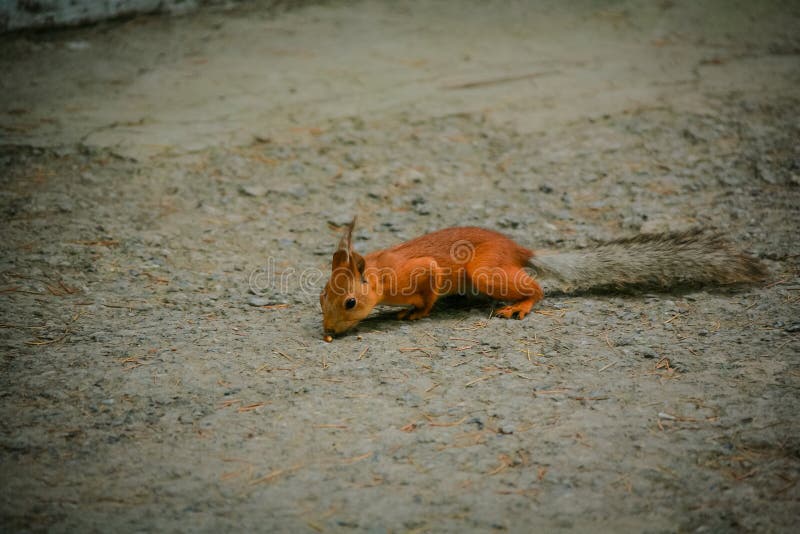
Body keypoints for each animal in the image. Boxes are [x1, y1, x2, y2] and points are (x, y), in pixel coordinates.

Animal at [319, 218, 767, 339]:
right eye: (322, 296)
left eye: (350, 302)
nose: (329, 330)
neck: (380, 273)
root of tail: (521, 252)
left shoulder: (422, 269)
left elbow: (427, 294)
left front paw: (416, 313)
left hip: (485, 271)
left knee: (538, 287)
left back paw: (520, 307)